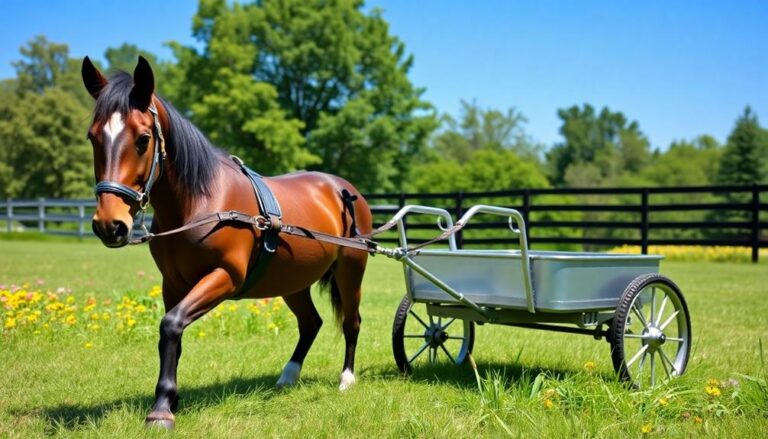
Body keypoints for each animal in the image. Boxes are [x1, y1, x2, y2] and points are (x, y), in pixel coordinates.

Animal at [82, 56, 372, 429]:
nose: (110, 224)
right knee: (311, 323)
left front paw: (161, 408)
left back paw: (346, 379)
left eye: (144, 138)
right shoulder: (173, 283)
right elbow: (172, 335)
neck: (200, 203)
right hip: (293, 282)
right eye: (92, 137)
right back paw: (287, 376)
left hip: (351, 270)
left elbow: (171, 325)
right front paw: (171, 400)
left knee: (351, 321)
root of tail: (343, 188)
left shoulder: (225, 276)